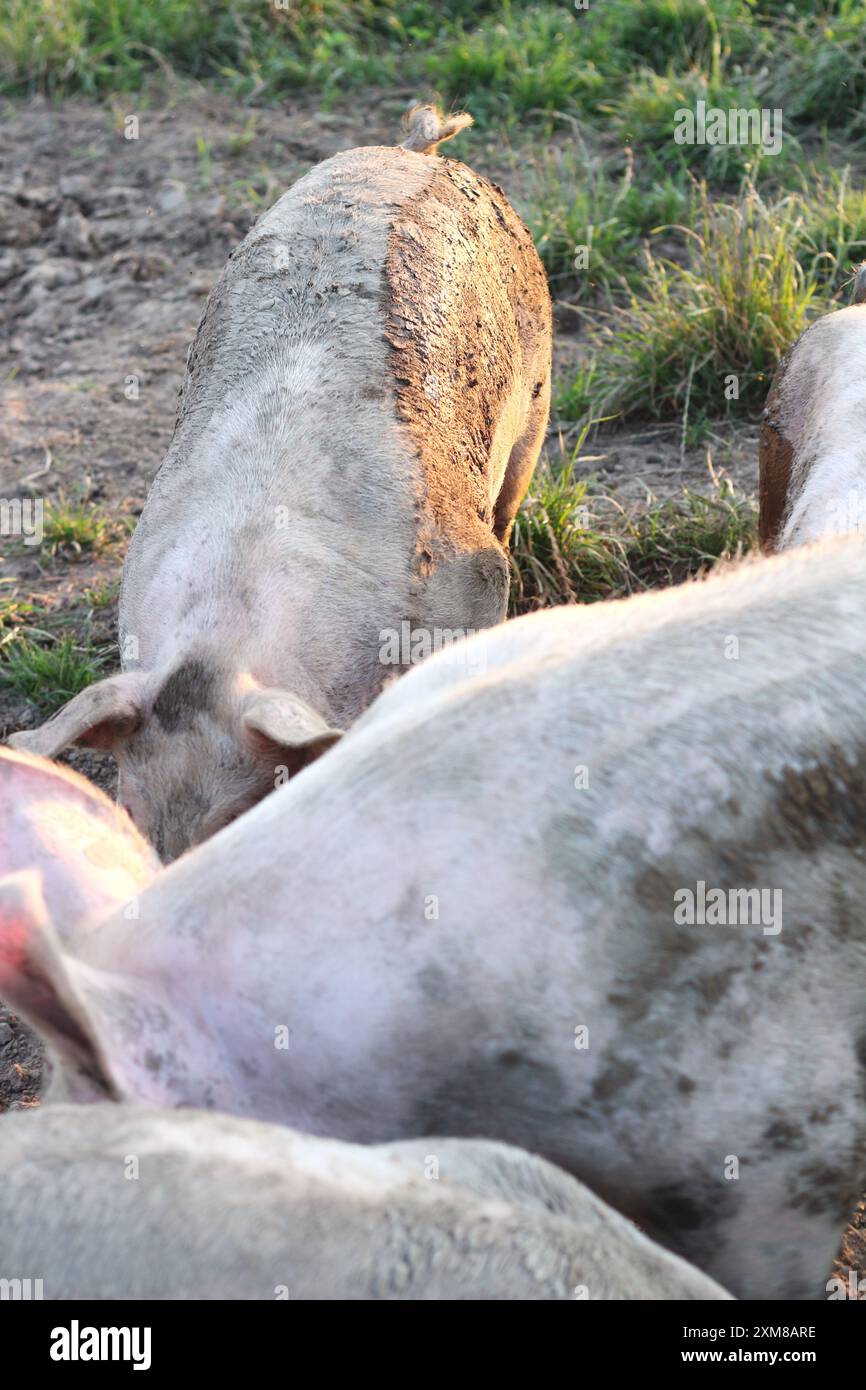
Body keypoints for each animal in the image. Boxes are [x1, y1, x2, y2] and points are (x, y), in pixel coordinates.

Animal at [7, 105, 552, 860]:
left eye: (244, 813)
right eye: (132, 811)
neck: (226, 626)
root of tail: (416, 151)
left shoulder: (467, 584)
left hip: (537, 390)